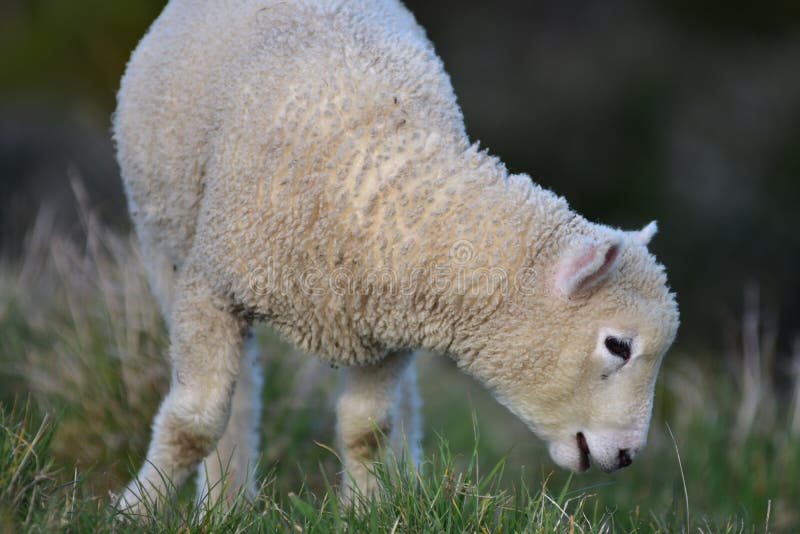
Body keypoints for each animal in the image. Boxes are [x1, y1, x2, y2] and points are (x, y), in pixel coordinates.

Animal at [113, 0, 679, 513]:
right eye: (618, 346)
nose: (627, 455)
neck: (385, 181)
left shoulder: (382, 330)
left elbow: (367, 430)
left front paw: (365, 512)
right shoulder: (213, 285)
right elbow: (193, 424)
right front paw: (135, 511)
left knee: (403, 405)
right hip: (163, 243)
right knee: (242, 392)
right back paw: (224, 502)